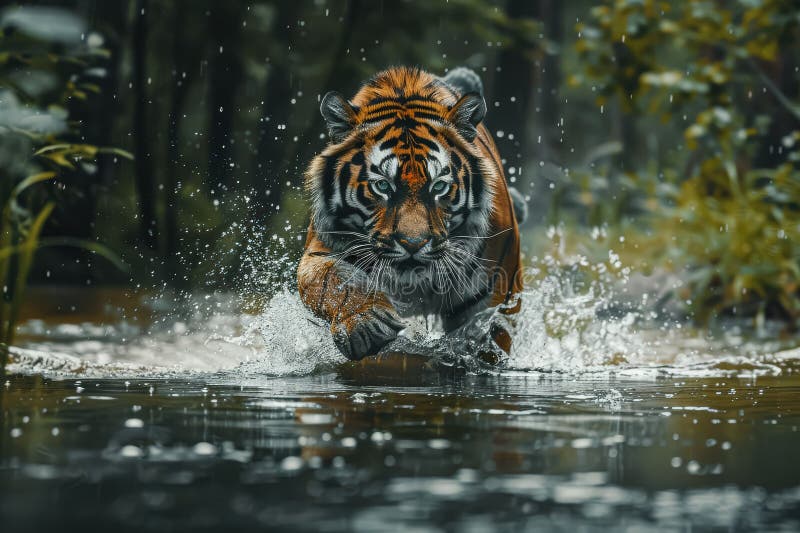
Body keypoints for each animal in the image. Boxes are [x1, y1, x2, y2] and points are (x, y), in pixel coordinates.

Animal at [297, 66, 526, 362]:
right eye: (382, 185)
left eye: (439, 186)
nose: (413, 244)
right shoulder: (320, 249)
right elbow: (335, 281)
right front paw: (366, 324)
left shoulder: (496, 290)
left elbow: (489, 332)